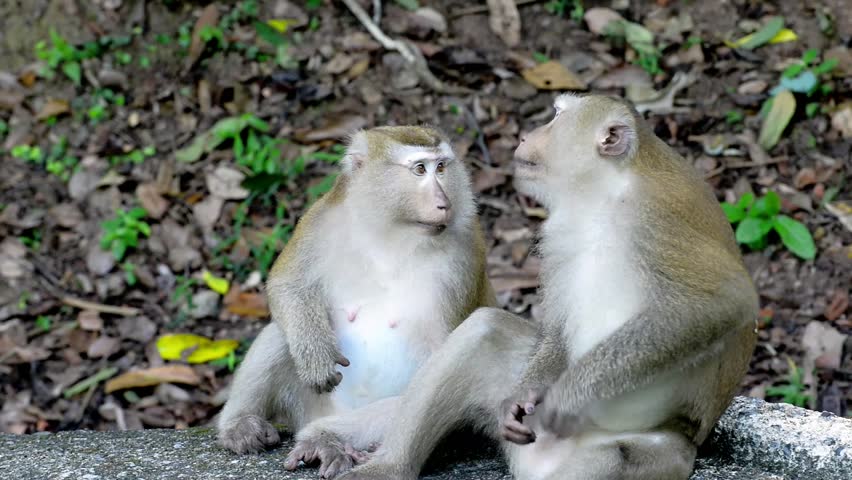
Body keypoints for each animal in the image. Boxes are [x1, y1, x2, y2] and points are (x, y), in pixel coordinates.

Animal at [216, 125, 495, 478]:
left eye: (442, 167)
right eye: (420, 169)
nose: (443, 202)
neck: (393, 234)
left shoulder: (466, 249)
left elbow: (440, 371)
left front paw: (329, 442)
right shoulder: (322, 218)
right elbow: (288, 285)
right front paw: (316, 354)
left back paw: (335, 442)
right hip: (309, 405)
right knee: (281, 332)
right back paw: (240, 424)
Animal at [308, 94, 758, 480]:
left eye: (557, 116)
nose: (527, 134)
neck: (604, 194)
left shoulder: (655, 218)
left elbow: (722, 304)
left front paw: (566, 398)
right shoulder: (560, 226)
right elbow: (555, 325)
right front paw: (527, 395)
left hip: (663, 450)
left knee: (617, 458)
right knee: (483, 330)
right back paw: (389, 465)